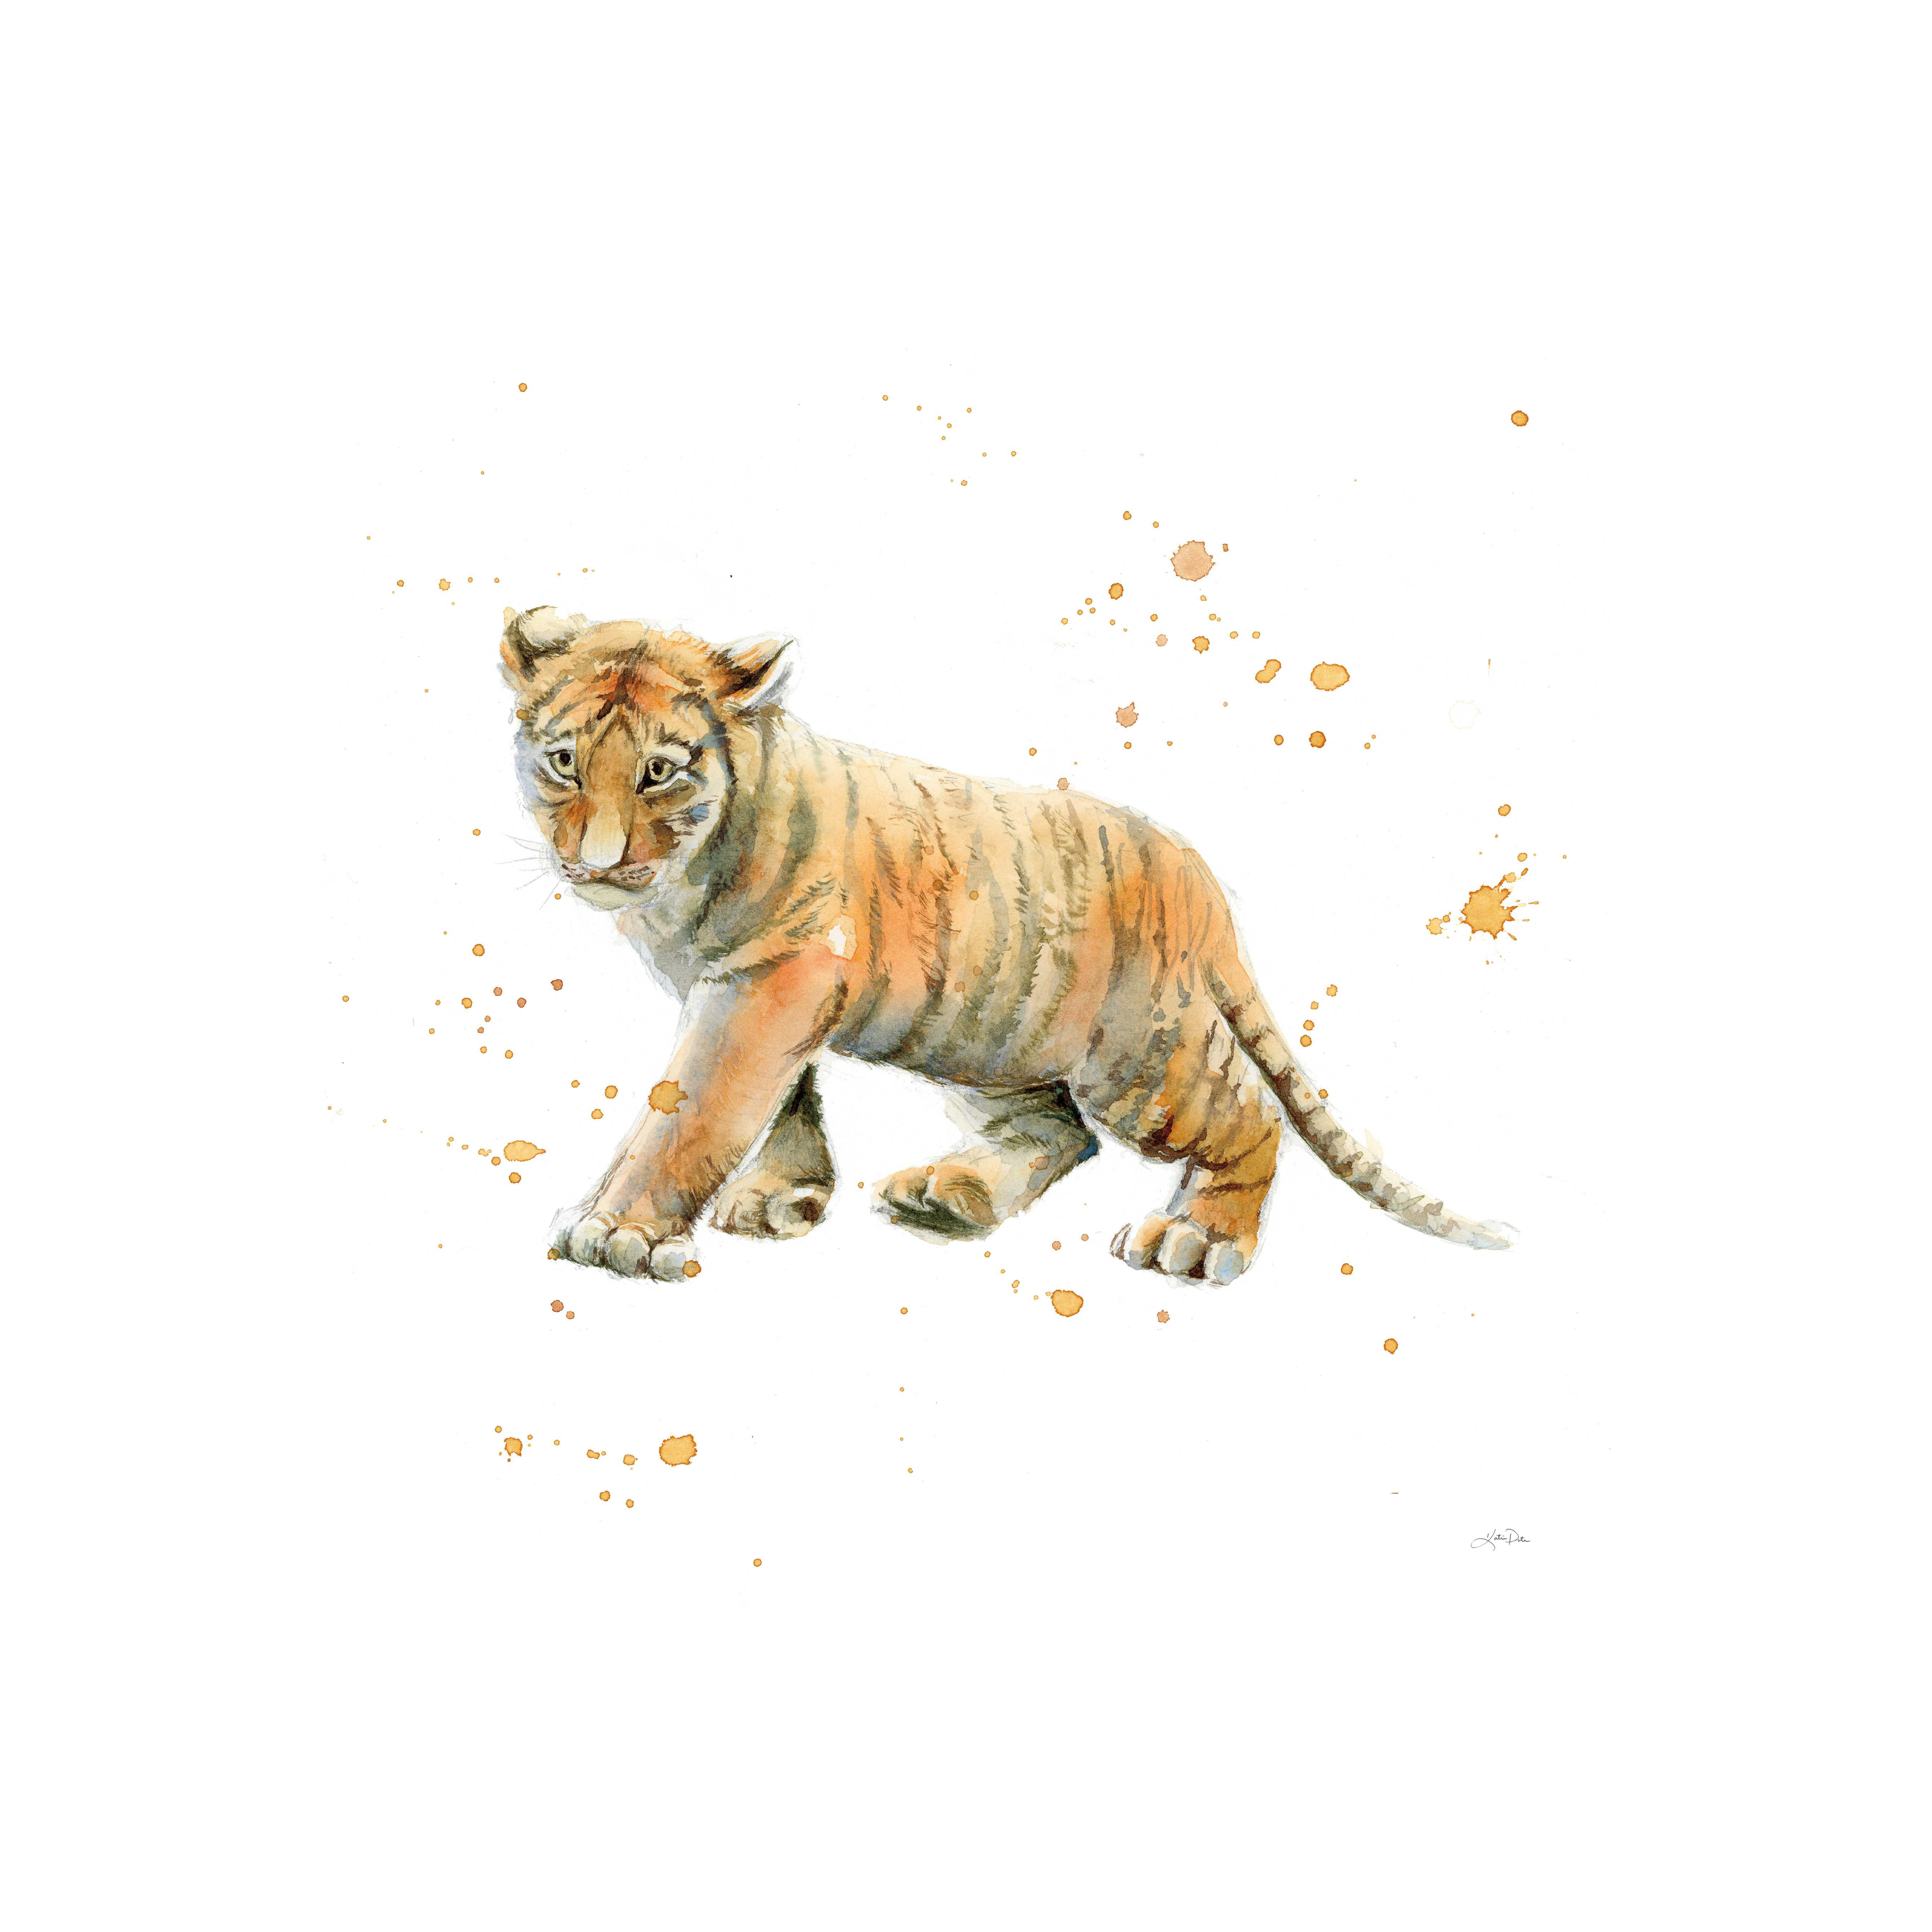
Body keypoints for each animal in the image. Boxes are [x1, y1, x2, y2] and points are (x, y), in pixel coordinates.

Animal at [499, 604, 1514, 1284]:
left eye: (660, 772)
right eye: (564, 763)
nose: (594, 860)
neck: (680, 886)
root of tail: (1191, 870)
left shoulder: (769, 981)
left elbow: (696, 1108)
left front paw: (616, 1231)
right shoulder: (757, 988)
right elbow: (782, 1098)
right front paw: (786, 1194)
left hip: (1140, 1057)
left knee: (1248, 1117)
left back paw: (1197, 1241)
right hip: (997, 1039)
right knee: (1059, 1131)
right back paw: (949, 1197)